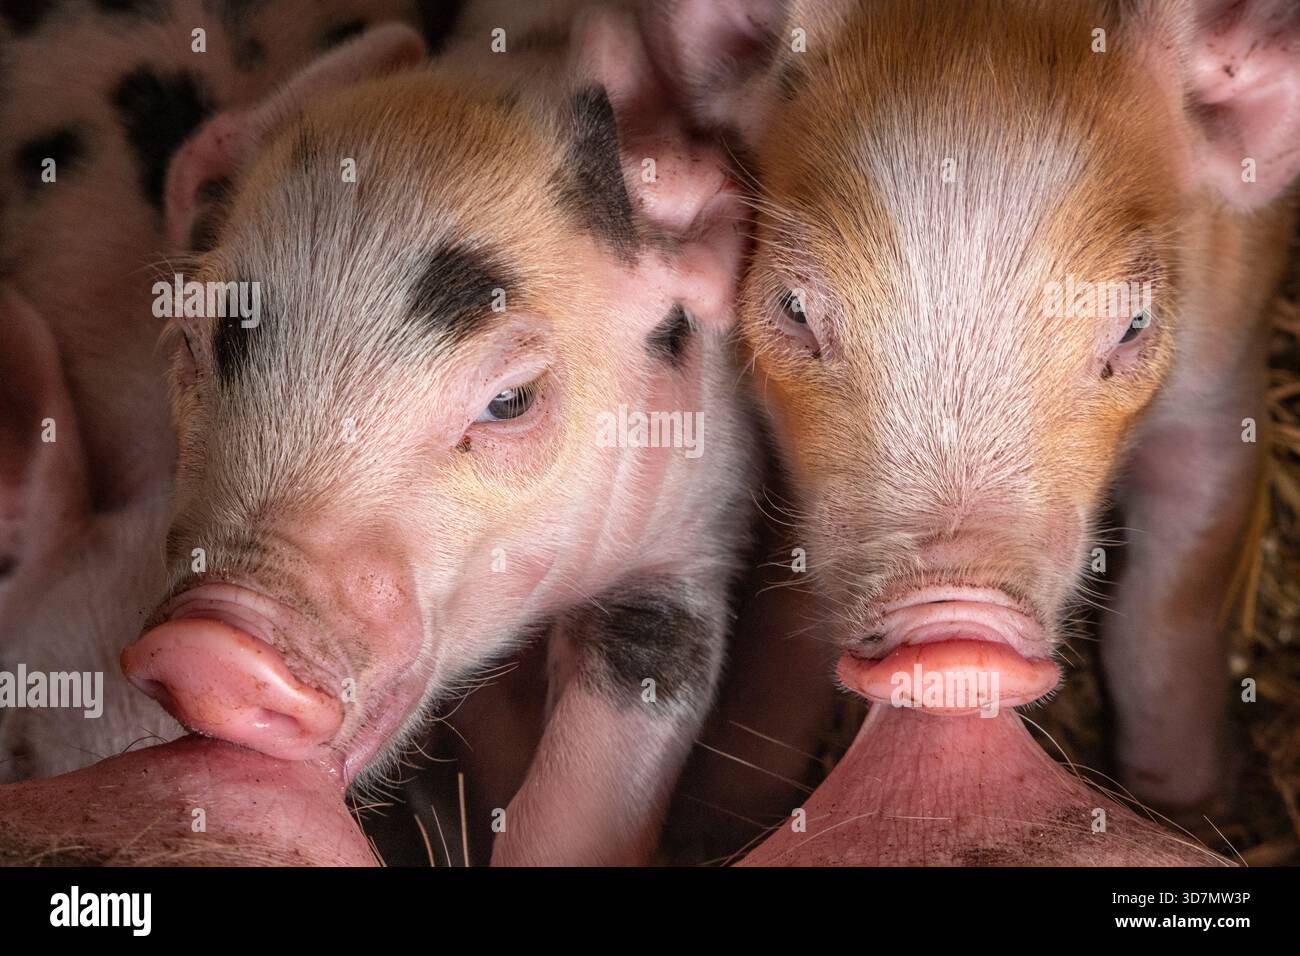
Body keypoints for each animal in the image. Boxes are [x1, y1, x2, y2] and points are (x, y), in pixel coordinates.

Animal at [646, 0, 1300, 817]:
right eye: (793, 308)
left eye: (1134, 325)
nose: (955, 631)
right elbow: (789, 608)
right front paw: (714, 815)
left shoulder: (1219, 381)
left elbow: (1174, 593)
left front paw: (1191, 807)